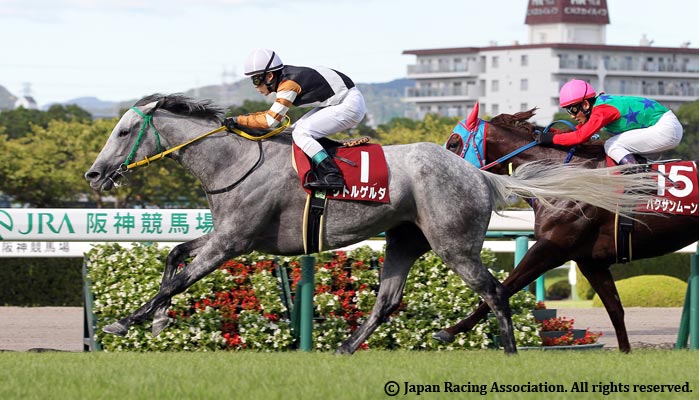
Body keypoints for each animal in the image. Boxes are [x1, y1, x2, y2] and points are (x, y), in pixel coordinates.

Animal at [85, 94, 659, 355]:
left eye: (125, 130)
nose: (94, 173)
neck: (235, 162)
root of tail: (477, 172)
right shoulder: (225, 234)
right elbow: (174, 256)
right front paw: (151, 321)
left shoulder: (233, 240)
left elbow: (179, 276)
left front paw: (126, 321)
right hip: (405, 240)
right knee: (388, 300)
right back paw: (344, 348)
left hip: (454, 244)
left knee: (495, 290)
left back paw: (510, 349)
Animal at [438, 106, 699, 352]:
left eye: (454, 143)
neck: (563, 178)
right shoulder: (590, 261)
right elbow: (615, 309)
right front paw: (625, 352)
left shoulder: (551, 248)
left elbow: (504, 287)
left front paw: (449, 331)